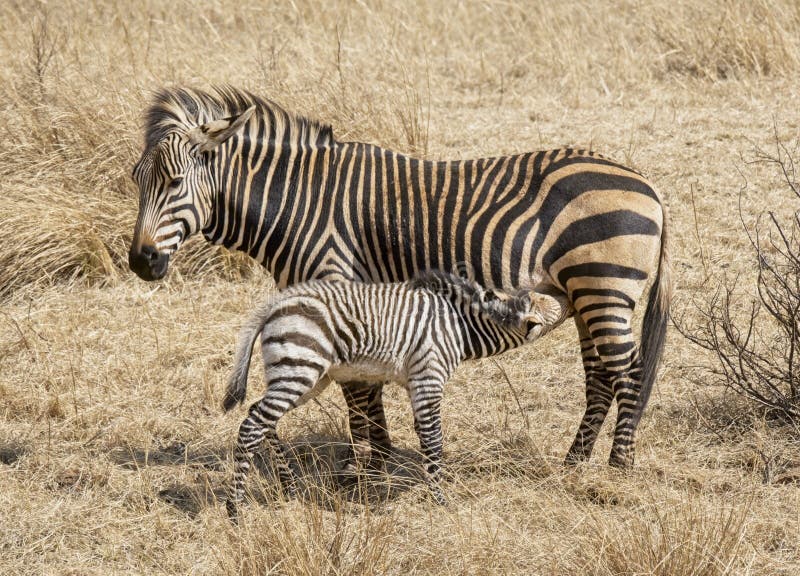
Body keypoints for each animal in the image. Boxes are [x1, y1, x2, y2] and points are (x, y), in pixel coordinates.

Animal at [129, 86, 671, 470]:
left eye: (174, 183)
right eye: (137, 182)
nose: (140, 262)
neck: (298, 205)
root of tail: (647, 183)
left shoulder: (338, 279)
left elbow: (357, 385)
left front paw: (366, 465)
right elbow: (362, 381)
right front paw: (377, 457)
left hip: (603, 286)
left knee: (628, 370)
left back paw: (619, 465)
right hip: (581, 295)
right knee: (600, 376)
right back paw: (575, 461)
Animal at [223, 271, 572, 517]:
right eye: (547, 300)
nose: (565, 288)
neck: (461, 328)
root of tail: (274, 305)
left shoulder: (416, 382)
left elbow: (425, 434)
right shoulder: (429, 377)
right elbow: (433, 439)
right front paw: (440, 500)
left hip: (305, 376)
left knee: (261, 417)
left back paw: (290, 487)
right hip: (299, 367)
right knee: (252, 424)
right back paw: (234, 509)